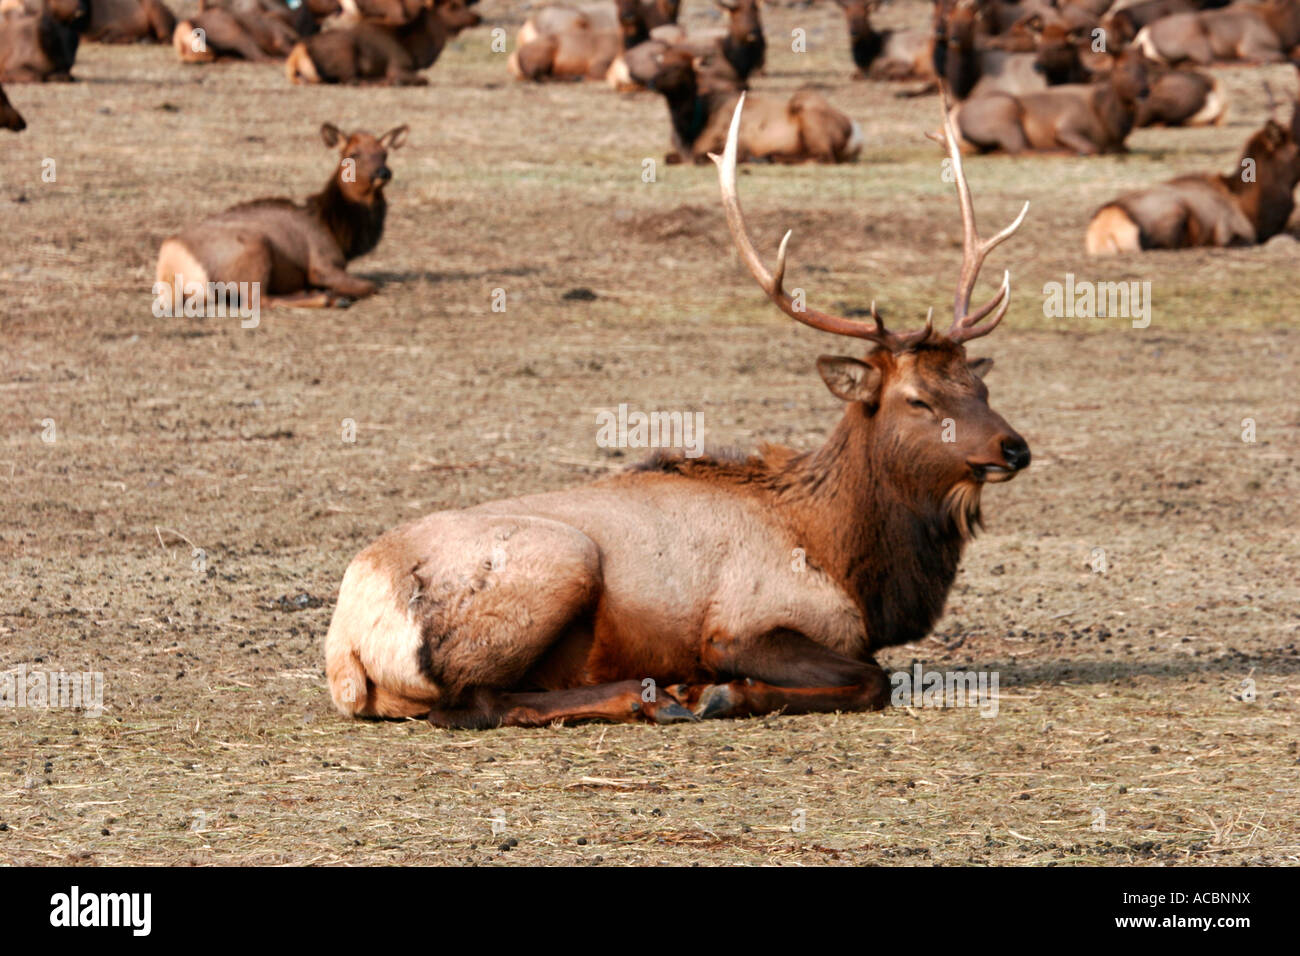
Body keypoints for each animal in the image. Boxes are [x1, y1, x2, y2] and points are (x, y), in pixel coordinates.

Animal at [155, 123, 407, 308]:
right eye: (353, 153)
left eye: (384, 154)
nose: (383, 172)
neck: (337, 231)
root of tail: (170, 262)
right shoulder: (323, 265)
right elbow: (371, 285)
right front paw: (334, 292)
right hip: (256, 249)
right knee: (258, 300)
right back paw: (328, 297)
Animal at [285, 0, 478, 84]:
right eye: (453, 5)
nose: (477, 18)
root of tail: (295, 56)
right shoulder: (398, 66)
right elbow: (424, 79)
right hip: (346, 52)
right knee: (351, 80)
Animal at [324, 91, 1030, 728]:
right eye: (918, 398)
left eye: (980, 386)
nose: (1014, 448)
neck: (845, 557)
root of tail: (347, 650)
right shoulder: (739, 624)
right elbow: (872, 678)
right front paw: (723, 693)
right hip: (560, 562)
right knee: (474, 702)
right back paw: (649, 697)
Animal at [950, 46, 1150, 153]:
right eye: (1123, 67)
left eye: (1145, 65)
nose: (1144, 91)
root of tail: (960, 118)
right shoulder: (1066, 126)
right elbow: (1093, 147)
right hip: (1005, 112)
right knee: (1022, 150)